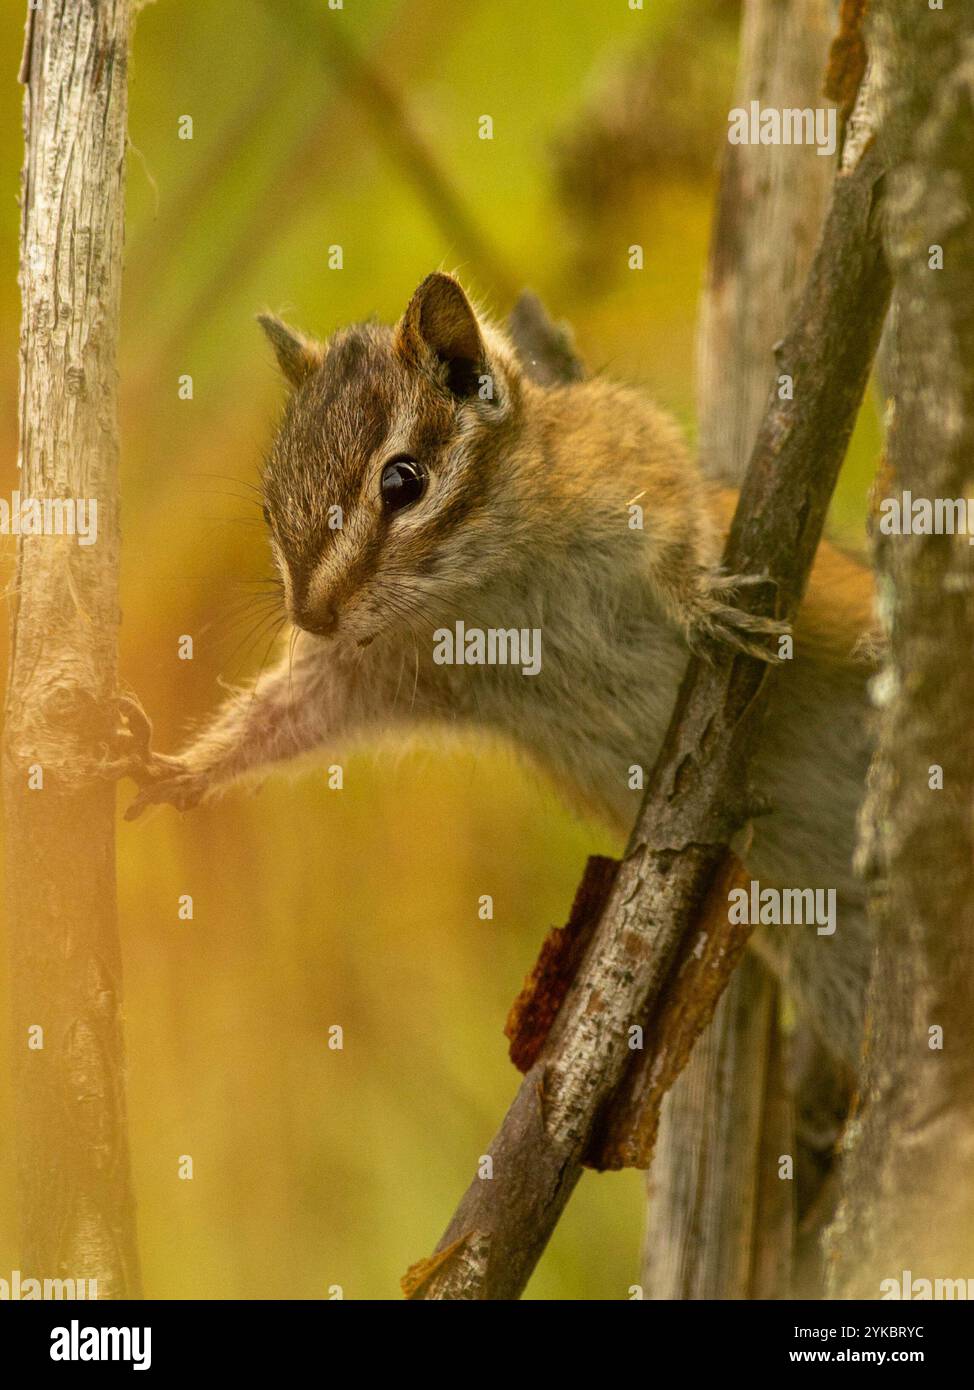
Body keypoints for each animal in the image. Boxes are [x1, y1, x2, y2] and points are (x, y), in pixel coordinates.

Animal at [119, 272, 876, 1067]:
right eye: (269, 509)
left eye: (403, 482)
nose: (312, 618)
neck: (486, 585)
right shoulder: (382, 668)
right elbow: (290, 714)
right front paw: (182, 768)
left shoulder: (628, 454)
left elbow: (678, 521)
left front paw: (703, 601)